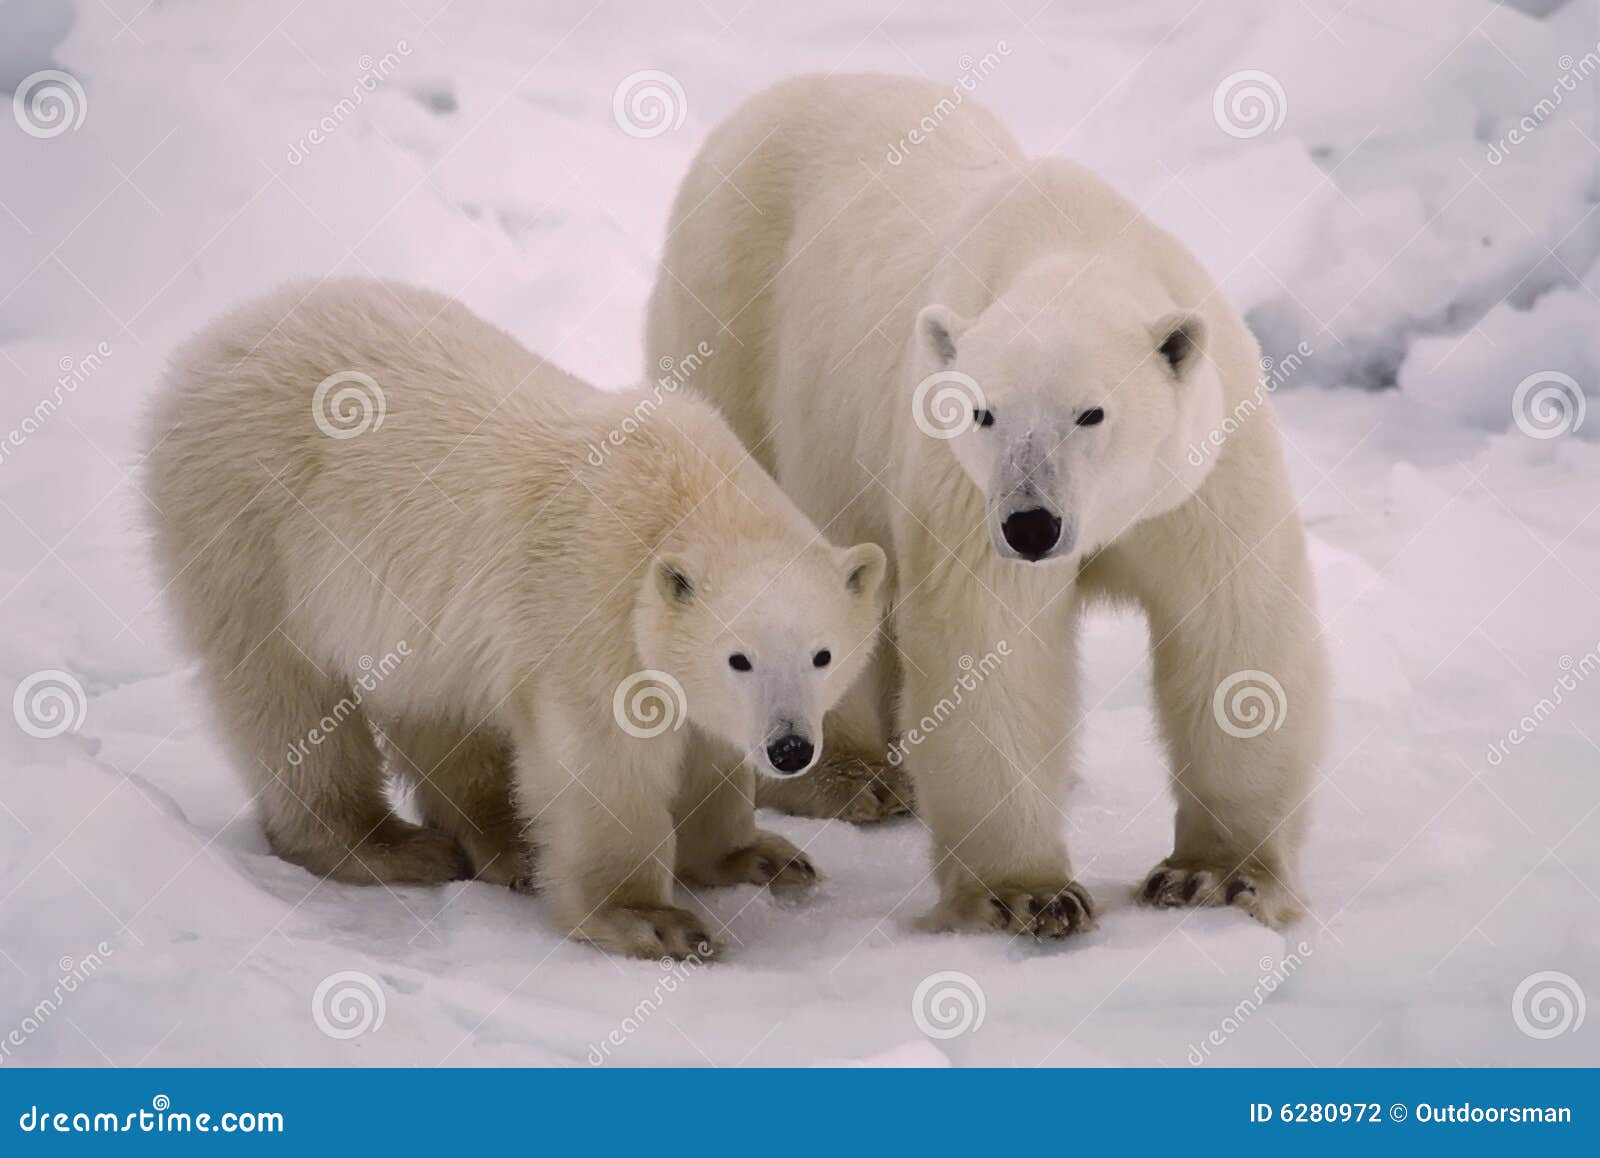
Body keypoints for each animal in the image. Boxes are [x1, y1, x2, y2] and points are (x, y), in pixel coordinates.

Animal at [143, 278, 886, 959]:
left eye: (822, 655)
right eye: (739, 658)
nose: (790, 748)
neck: (681, 496)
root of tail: (210, 343)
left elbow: (708, 752)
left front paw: (765, 857)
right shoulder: (590, 609)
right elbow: (605, 766)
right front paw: (653, 920)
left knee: (433, 704)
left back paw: (500, 841)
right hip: (251, 530)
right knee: (288, 701)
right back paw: (390, 846)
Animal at [645, 74, 1328, 935]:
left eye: (1091, 413)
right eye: (983, 412)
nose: (1032, 525)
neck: (1074, 243)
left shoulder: (1204, 472)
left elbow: (1234, 627)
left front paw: (1217, 877)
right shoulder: (962, 490)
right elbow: (991, 642)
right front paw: (1030, 894)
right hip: (731, 317)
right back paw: (854, 776)